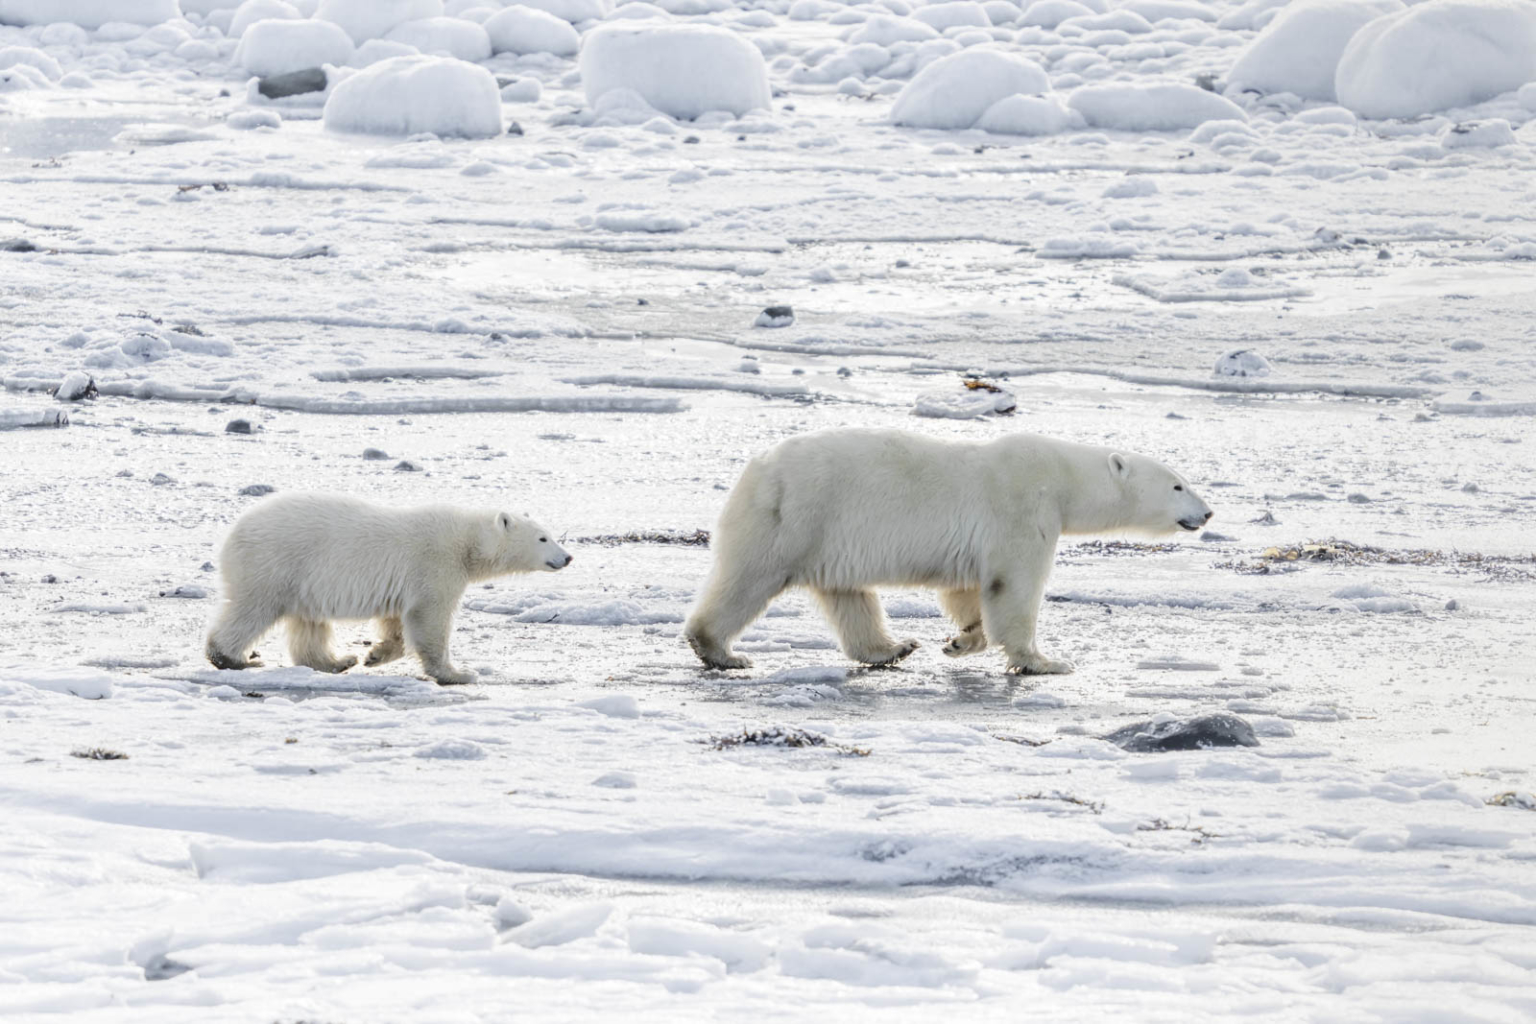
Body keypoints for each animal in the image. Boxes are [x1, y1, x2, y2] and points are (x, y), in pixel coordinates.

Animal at [205, 493, 571, 685]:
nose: (567, 557)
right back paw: (233, 658)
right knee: (253, 609)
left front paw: (374, 655)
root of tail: (232, 534)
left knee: (308, 624)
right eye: (543, 538)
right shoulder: (435, 564)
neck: (467, 543)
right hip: (274, 565)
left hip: (302, 581)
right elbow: (430, 618)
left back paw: (339, 661)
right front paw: (458, 673)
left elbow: (396, 622)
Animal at [684, 428, 1212, 675]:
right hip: (795, 517)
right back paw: (721, 651)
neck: (1063, 479)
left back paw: (892, 648)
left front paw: (961, 640)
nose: (1207, 513)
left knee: (849, 596)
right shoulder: (1021, 505)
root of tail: (756, 469)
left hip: (827, 535)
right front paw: (1045, 661)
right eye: (1178, 484)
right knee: (749, 580)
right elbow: (1014, 585)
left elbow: (967, 589)